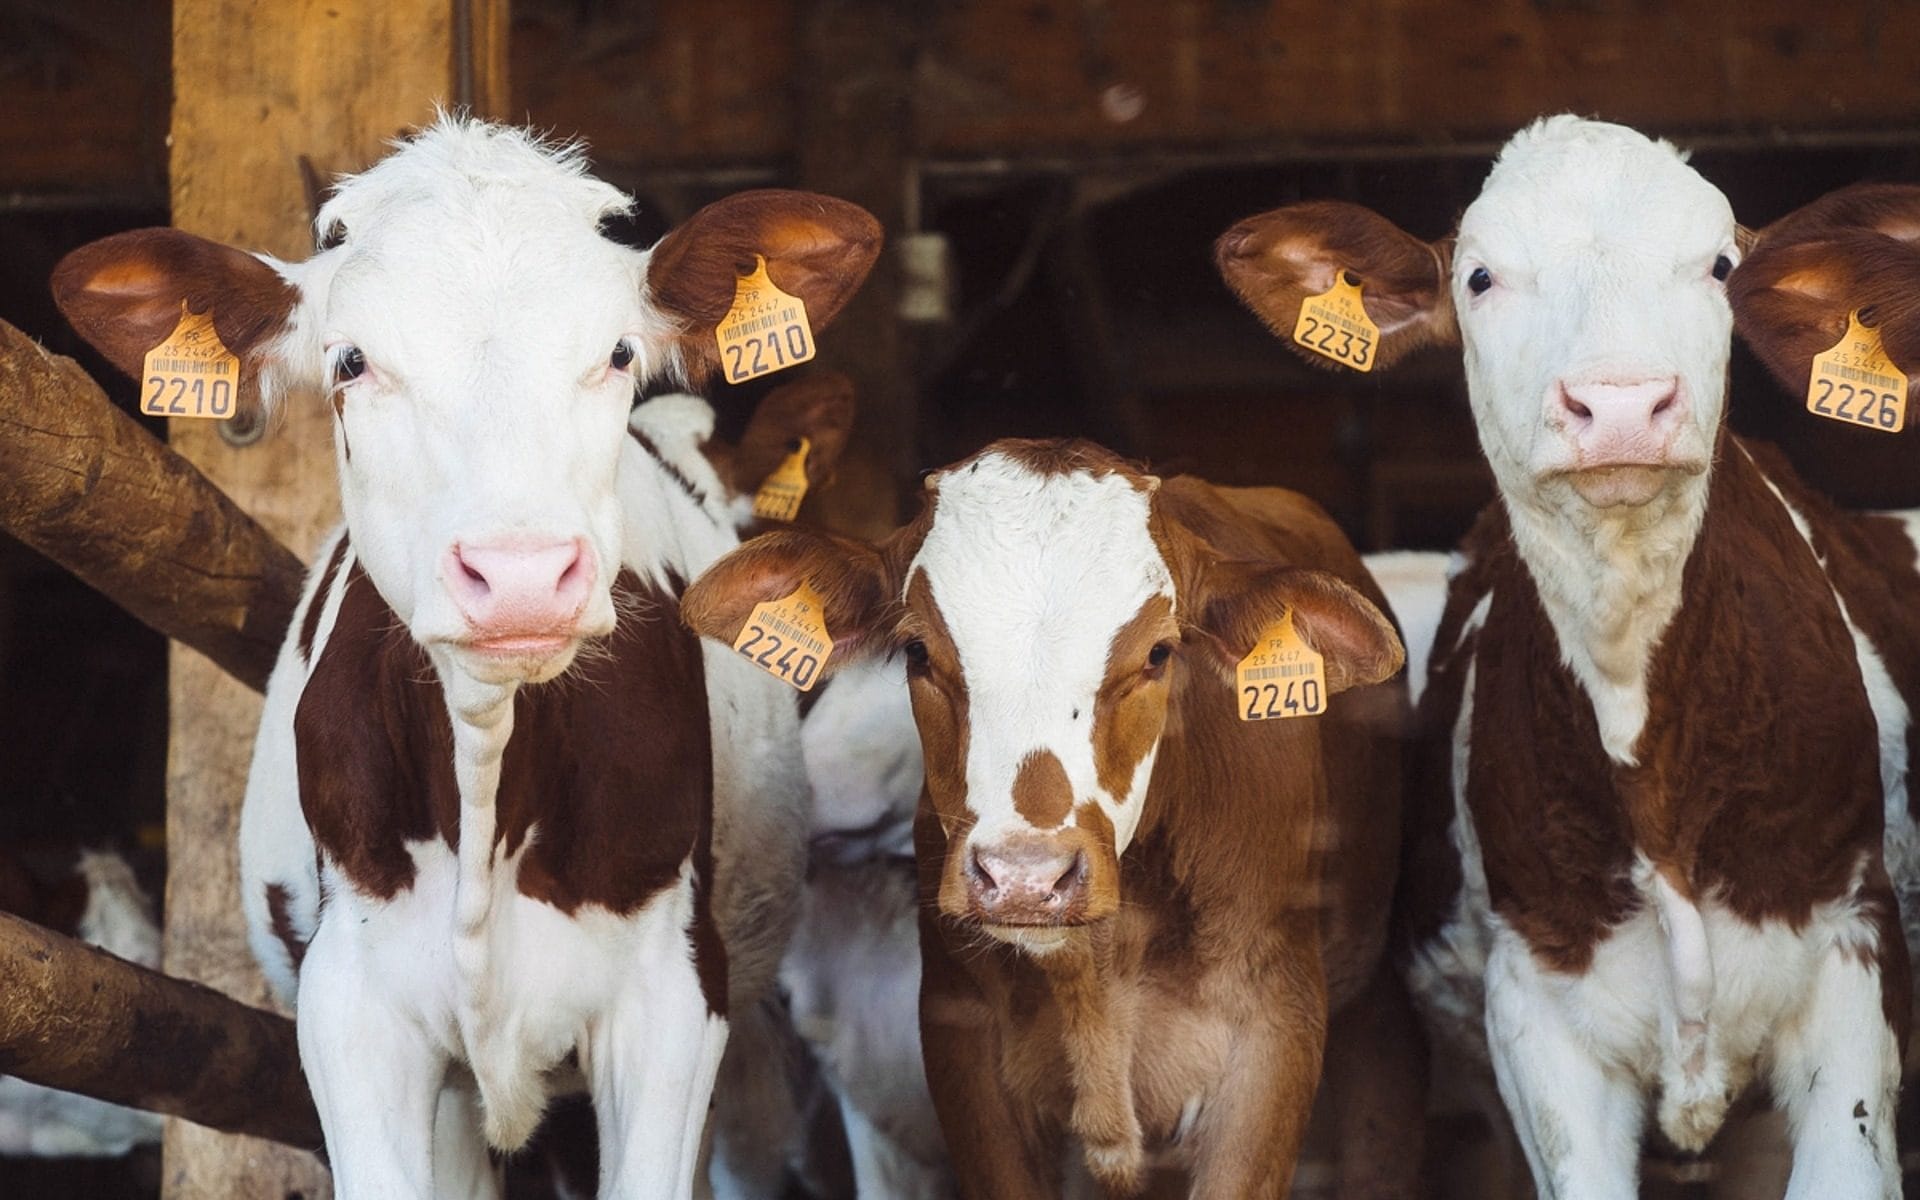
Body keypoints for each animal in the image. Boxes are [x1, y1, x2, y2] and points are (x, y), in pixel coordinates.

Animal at [682, 437, 1421, 1199]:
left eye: (1158, 653)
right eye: (917, 651)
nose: (1025, 878)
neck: (1096, 970)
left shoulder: (1274, 1039)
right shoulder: (962, 1047)